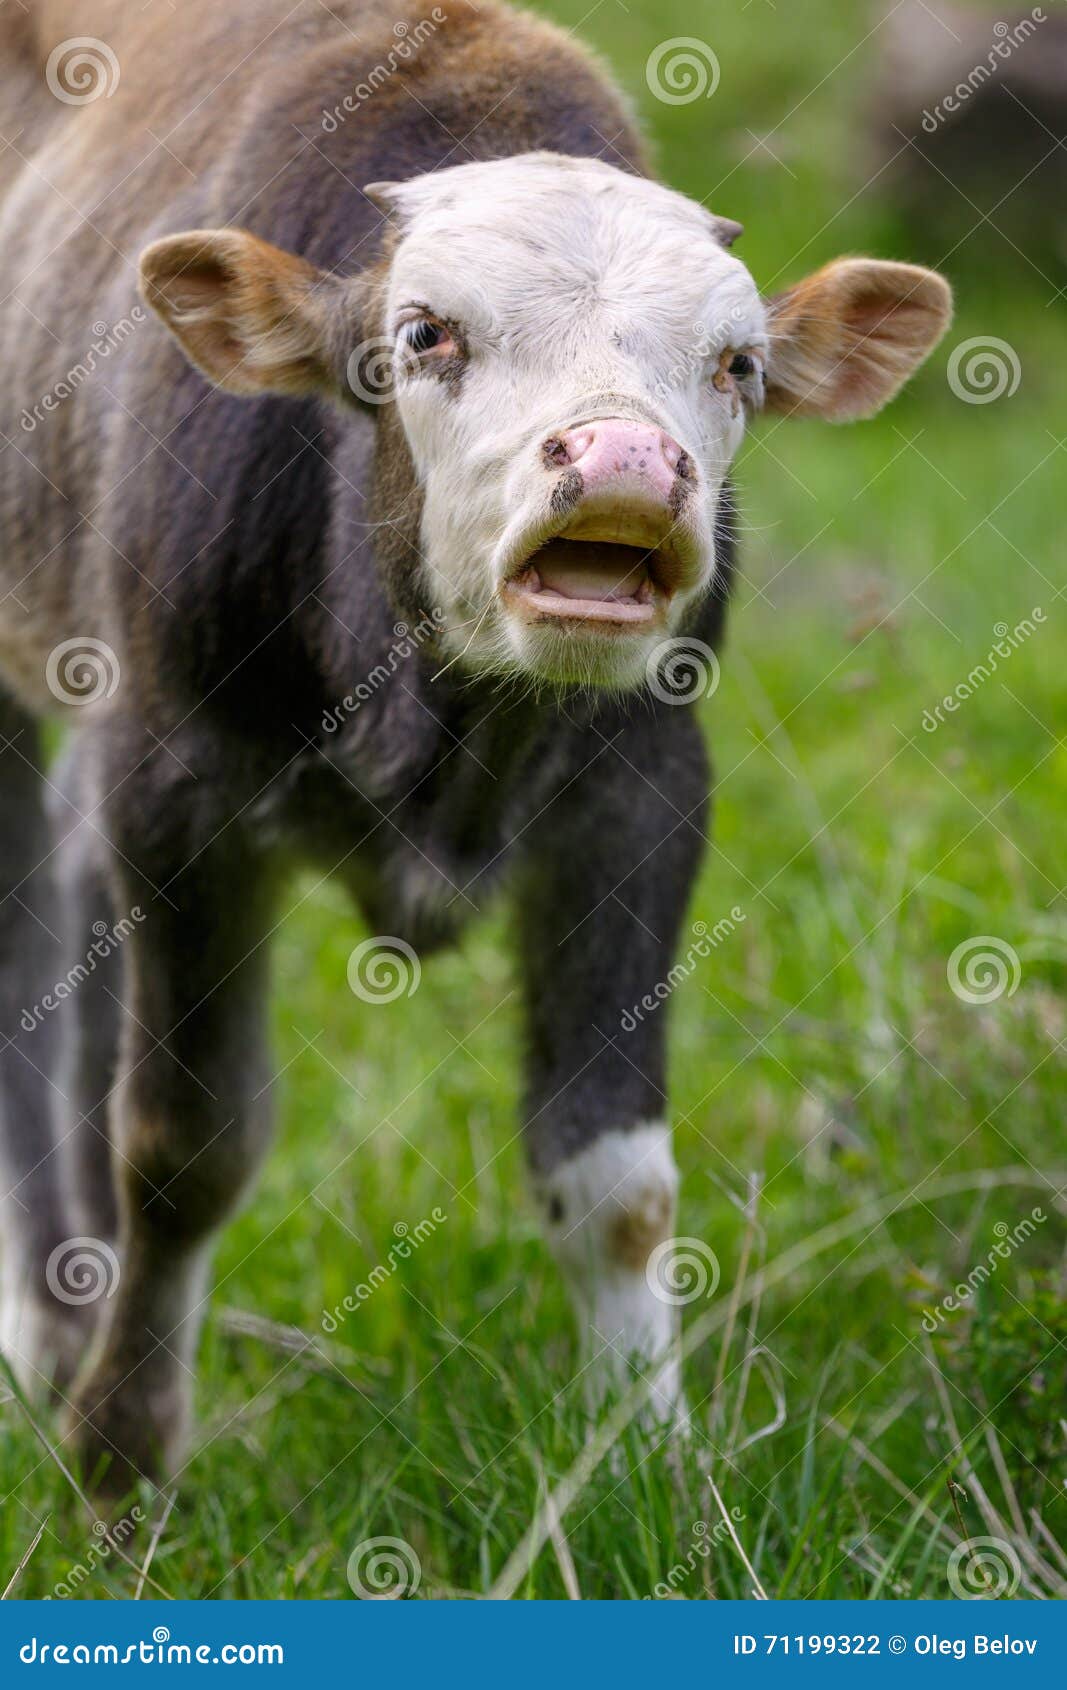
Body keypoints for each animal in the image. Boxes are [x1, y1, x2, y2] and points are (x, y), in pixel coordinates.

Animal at [0, 0, 951, 1492]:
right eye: (425, 333)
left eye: (734, 364)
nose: (624, 461)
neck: (443, 733)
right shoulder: (176, 779)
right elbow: (183, 1144)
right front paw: (120, 1463)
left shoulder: (642, 790)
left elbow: (613, 1178)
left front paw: (644, 1457)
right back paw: (50, 1335)